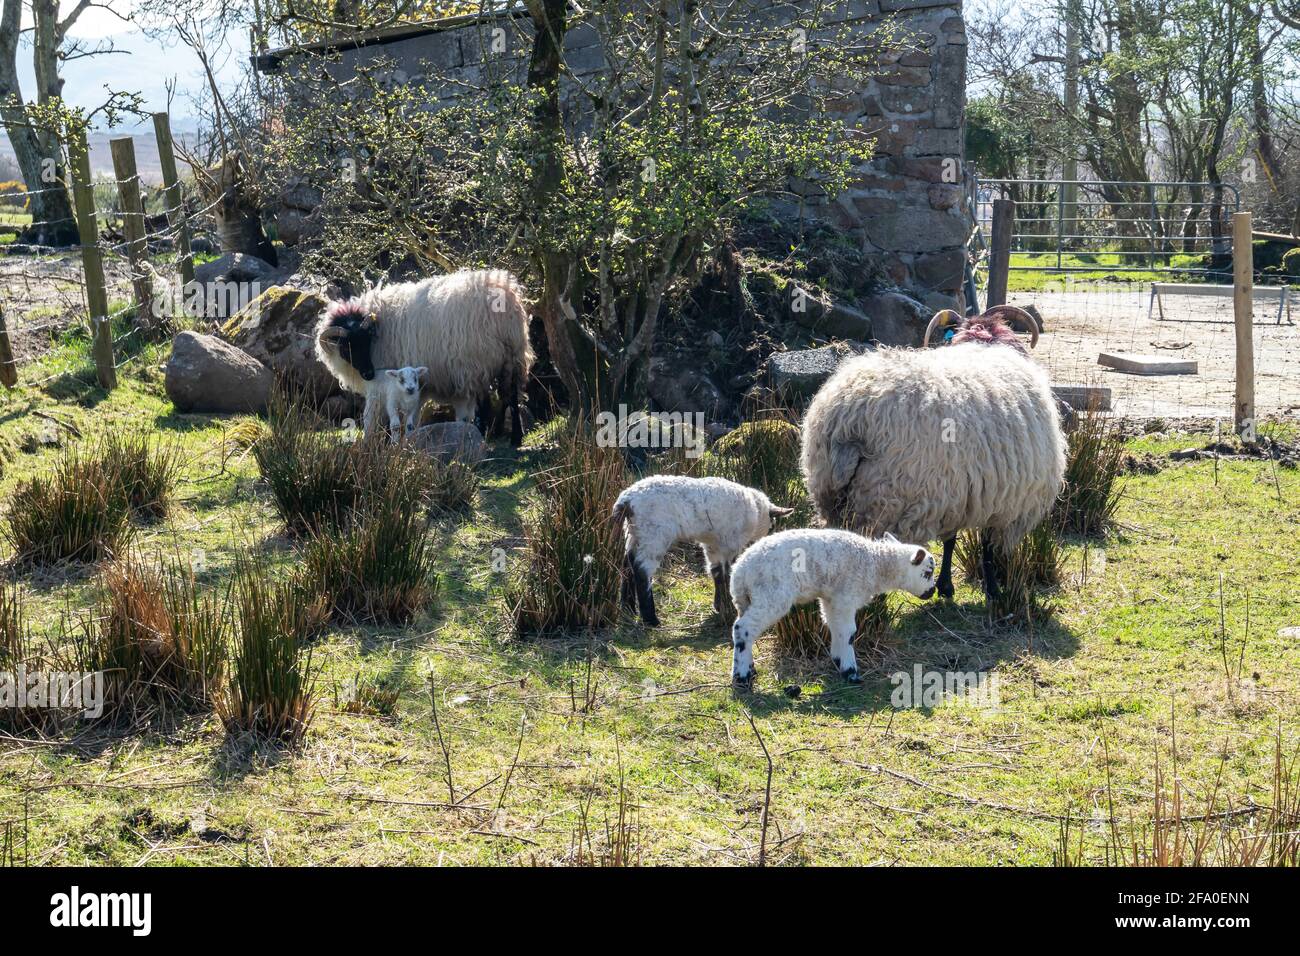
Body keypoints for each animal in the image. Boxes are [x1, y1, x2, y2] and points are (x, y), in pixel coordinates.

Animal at [314, 270, 535, 446]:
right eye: (346, 346)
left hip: (479, 360)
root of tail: (505, 294)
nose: (368, 373)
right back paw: (511, 435)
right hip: (512, 355)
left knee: (486, 402)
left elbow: (378, 416)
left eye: (366, 340)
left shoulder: (383, 383)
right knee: (510, 395)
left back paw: (485, 433)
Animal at [610, 475, 794, 627]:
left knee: (627, 565)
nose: (765, 540)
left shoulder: (713, 545)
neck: (755, 510)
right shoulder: (730, 543)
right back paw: (651, 619)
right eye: (772, 524)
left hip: (634, 532)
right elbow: (727, 573)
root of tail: (626, 500)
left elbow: (716, 572)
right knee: (642, 571)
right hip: (653, 535)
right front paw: (727, 605)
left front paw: (719, 605)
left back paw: (627, 608)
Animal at [729, 530, 936, 687]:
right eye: (927, 573)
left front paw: (837, 660)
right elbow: (849, 633)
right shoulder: (846, 597)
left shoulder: (832, 598)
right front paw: (850, 672)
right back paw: (742, 677)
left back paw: (748, 668)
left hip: (747, 599)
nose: (932, 591)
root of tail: (740, 571)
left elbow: (835, 627)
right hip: (771, 593)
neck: (875, 564)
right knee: (743, 628)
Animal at [800, 305, 1066, 602]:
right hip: (885, 498)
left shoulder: (958, 491)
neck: (983, 343)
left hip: (827, 489)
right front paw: (992, 591)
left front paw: (946, 586)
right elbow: (986, 545)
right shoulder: (1002, 497)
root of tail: (850, 416)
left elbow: (951, 540)